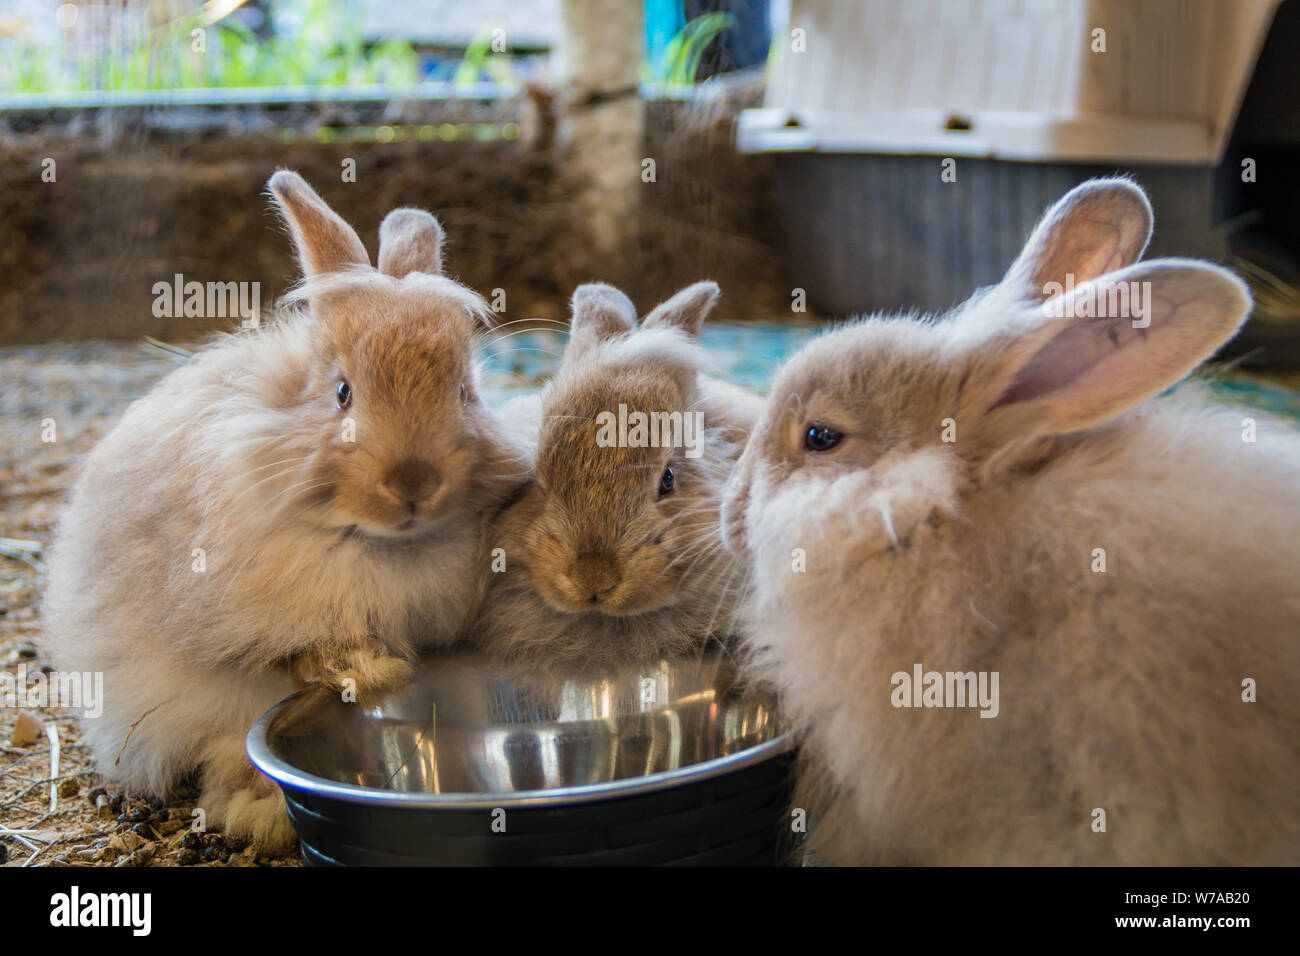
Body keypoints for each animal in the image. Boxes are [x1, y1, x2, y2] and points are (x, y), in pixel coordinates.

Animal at [43, 171, 528, 851]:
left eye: (464, 393)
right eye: (342, 392)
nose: (414, 483)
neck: (374, 539)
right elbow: (292, 656)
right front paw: (371, 673)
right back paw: (258, 811)